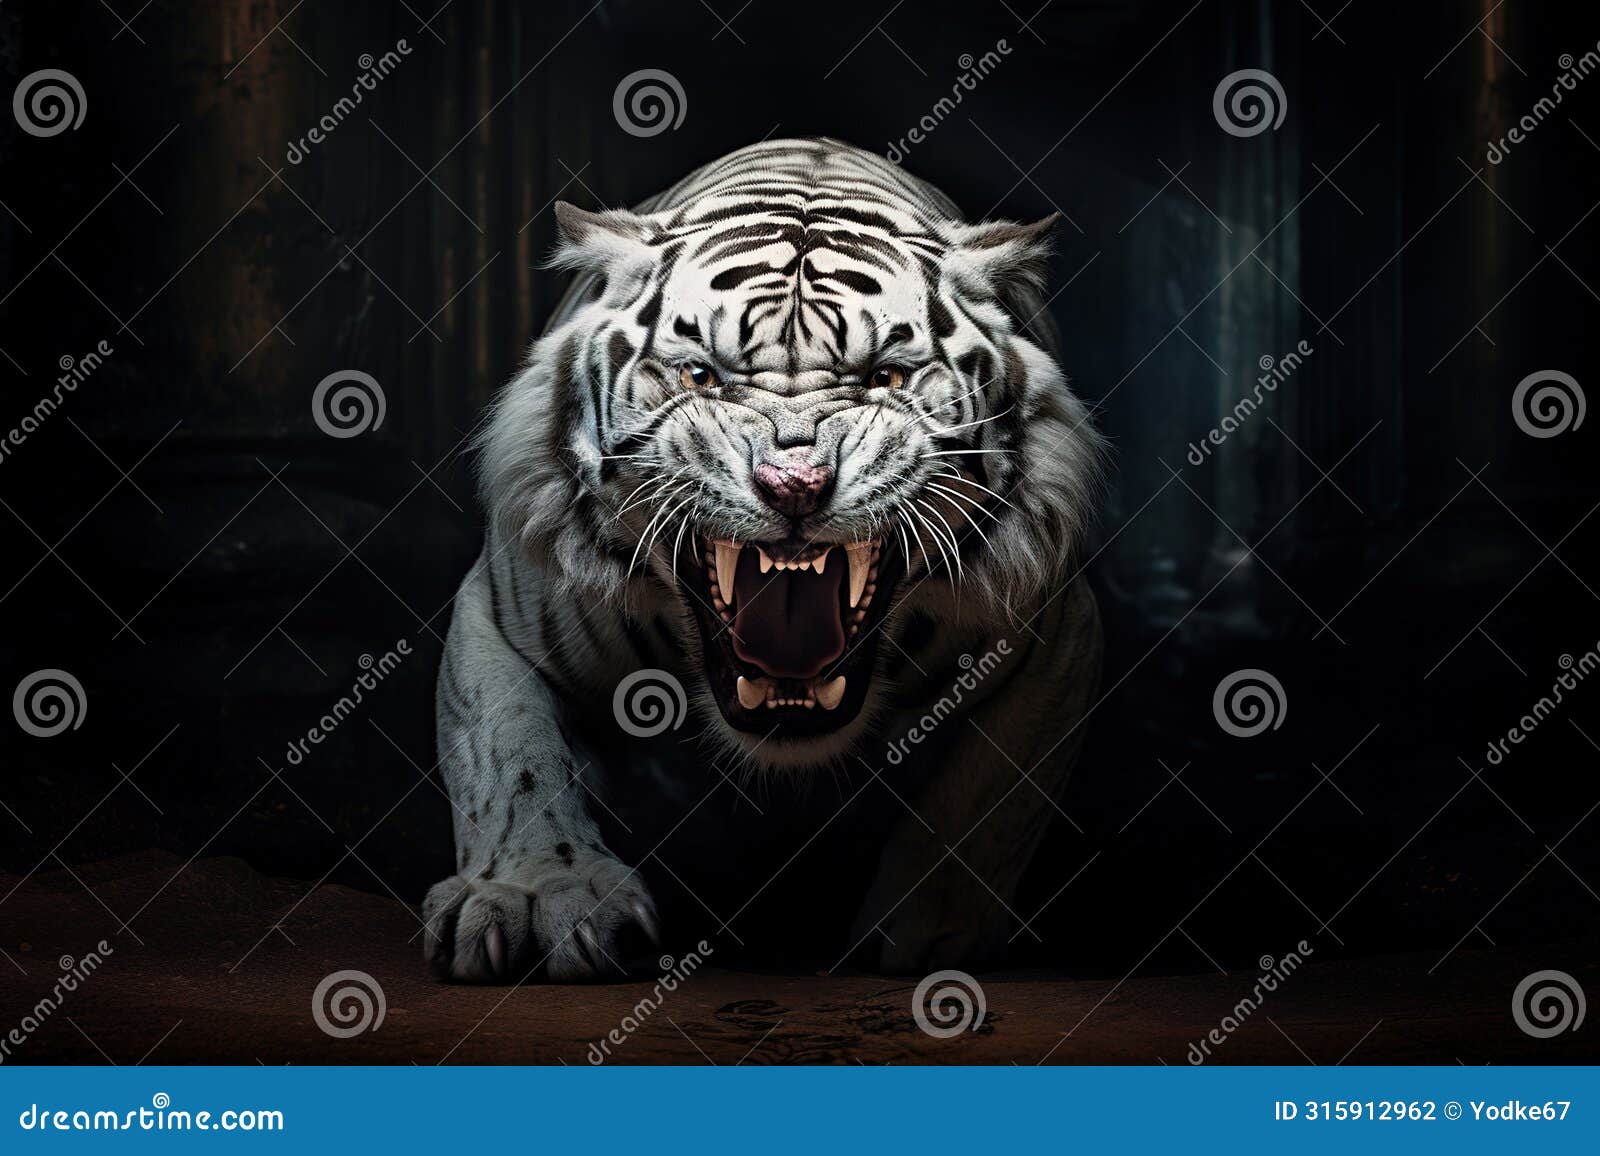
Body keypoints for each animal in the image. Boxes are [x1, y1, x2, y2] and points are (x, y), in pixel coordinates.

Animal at [423, 137, 1105, 982]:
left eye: (884, 378)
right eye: (700, 376)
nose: (794, 484)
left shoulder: (1054, 633)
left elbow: (989, 793)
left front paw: (926, 936)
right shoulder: (500, 616)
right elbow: (511, 750)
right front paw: (536, 892)